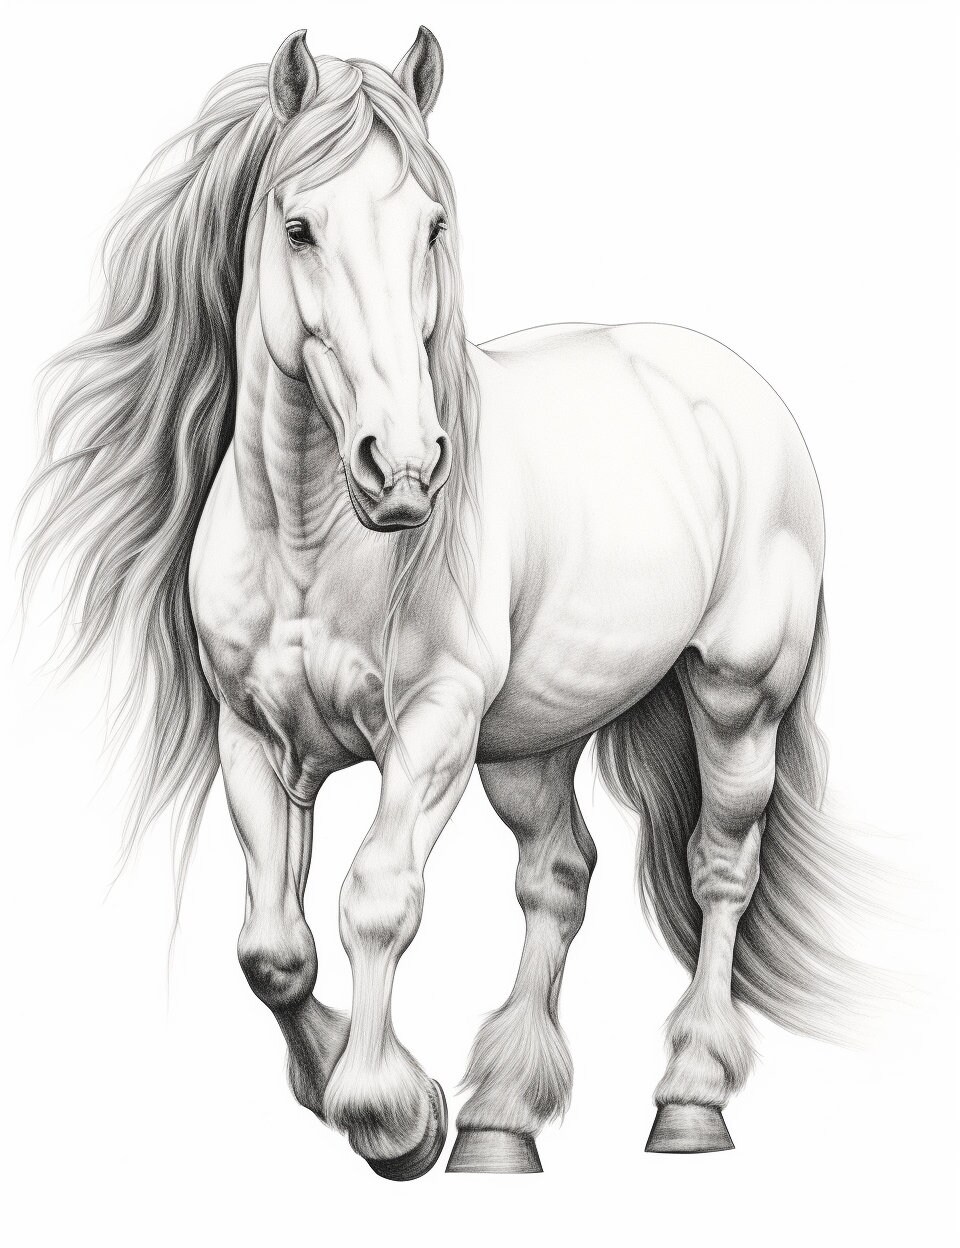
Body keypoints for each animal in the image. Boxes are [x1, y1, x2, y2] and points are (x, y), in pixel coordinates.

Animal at [22, 26, 873, 1179]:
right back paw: (501, 1120)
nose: (406, 468)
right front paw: (363, 1087)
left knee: (720, 871)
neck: (310, 543)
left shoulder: (432, 729)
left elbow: (377, 898)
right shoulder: (252, 738)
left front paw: (388, 1114)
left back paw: (689, 1099)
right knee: (559, 877)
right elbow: (271, 947)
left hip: (738, 696)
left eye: (432, 223)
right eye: (298, 226)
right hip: (531, 741)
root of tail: (719, 384)